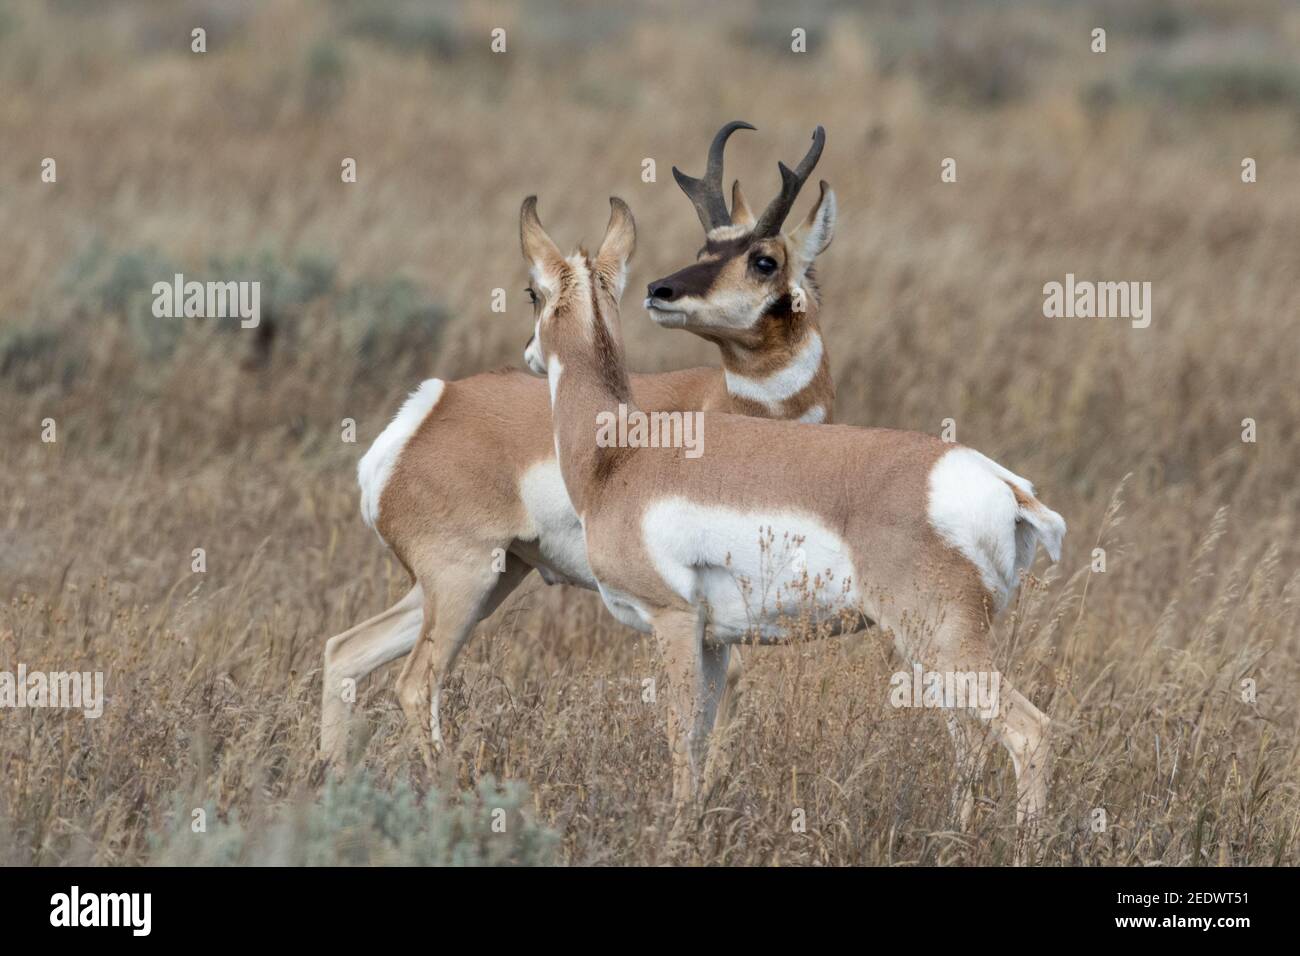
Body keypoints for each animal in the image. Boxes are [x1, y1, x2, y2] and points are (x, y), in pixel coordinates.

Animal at [320, 123, 838, 767]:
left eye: (764, 260)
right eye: (704, 252)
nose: (662, 291)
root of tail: (433, 404)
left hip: (487, 579)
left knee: (345, 650)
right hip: (462, 579)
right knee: (415, 681)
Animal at [517, 184, 1065, 832]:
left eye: (531, 291)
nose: (529, 353)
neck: (622, 452)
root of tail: (1000, 483)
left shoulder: (673, 621)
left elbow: (680, 736)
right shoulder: (714, 640)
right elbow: (701, 737)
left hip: (945, 645)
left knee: (1029, 732)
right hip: (935, 652)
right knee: (971, 741)